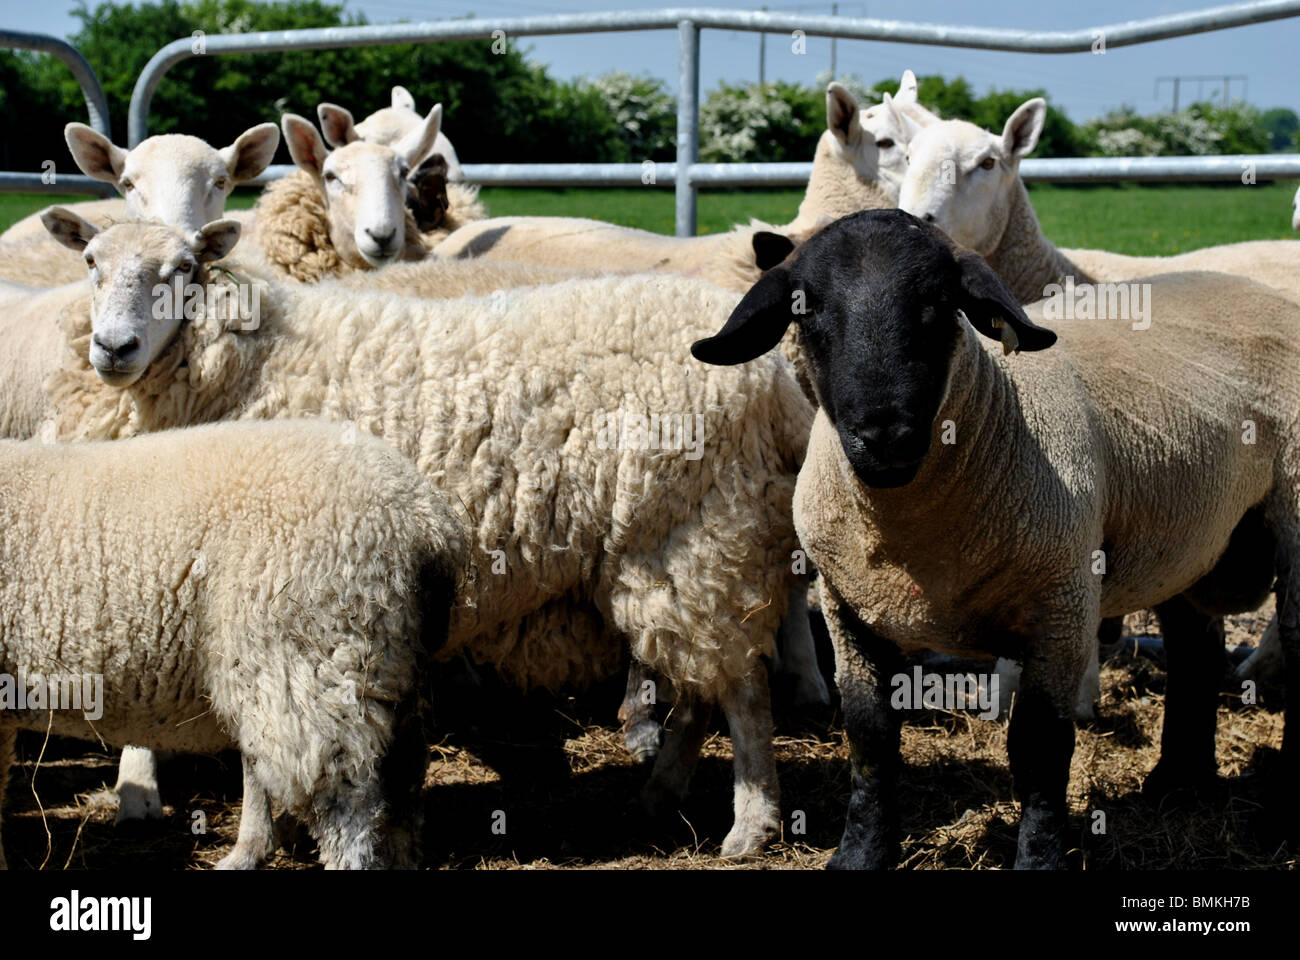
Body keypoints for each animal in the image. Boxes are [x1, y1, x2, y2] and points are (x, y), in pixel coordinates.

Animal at [40, 209, 813, 858]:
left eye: (182, 268)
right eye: (90, 262)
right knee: (701, 684)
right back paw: (661, 795)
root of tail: (777, 385)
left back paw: (751, 824)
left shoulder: (277, 584)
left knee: (741, 687)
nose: (113, 347)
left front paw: (250, 844)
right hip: (671, 553)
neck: (247, 365)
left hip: (700, 531)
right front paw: (258, 840)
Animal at [691, 208, 1300, 869]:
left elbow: (1039, 745)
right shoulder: (848, 607)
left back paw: (1278, 817)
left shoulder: (1061, 604)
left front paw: (1038, 858)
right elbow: (870, 737)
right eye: (806, 307)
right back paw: (1178, 784)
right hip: (1191, 538)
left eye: (939, 300)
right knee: (1194, 651)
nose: (886, 434)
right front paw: (860, 855)